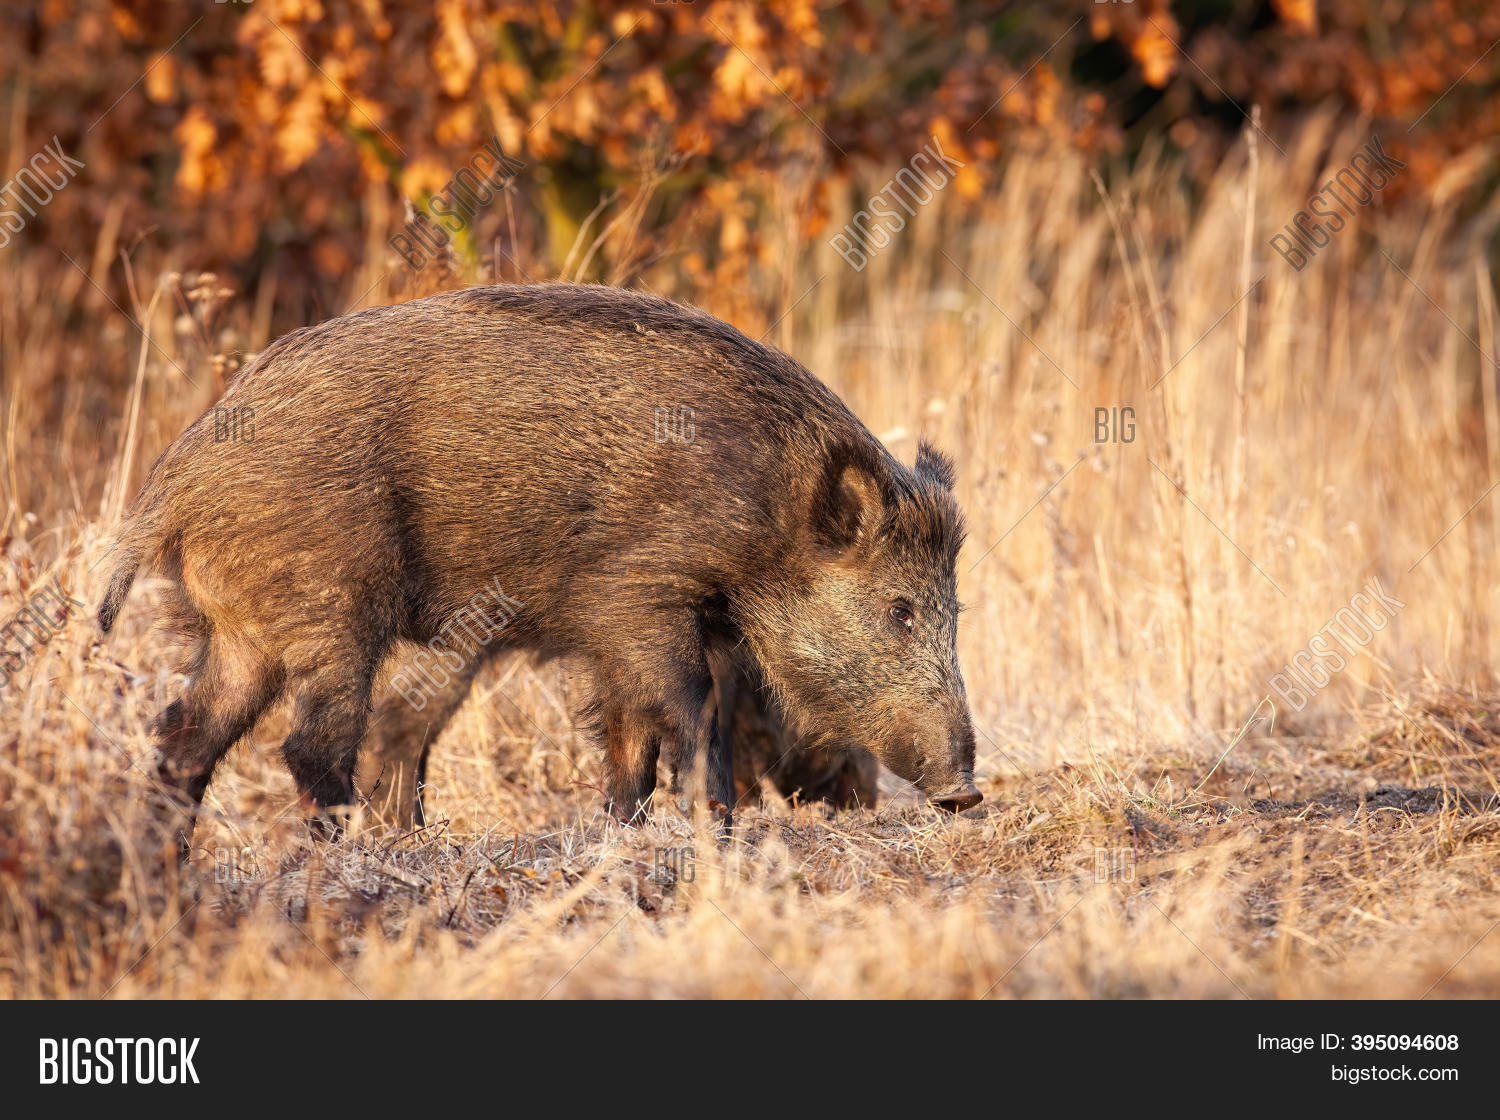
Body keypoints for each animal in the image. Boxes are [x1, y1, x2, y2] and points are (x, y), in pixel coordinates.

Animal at [98, 282, 979, 845]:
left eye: (954, 609)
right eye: (901, 609)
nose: (966, 790)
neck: (767, 516)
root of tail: (174, 481)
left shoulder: (620, 634)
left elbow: (631, 737)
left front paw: (629, 831)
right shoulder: (640, 599)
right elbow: (693, 709)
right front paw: (718, 829)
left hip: (243, 632)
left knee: (184, 735)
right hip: (330, 611)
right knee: (310, 745)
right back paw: (356, 854)